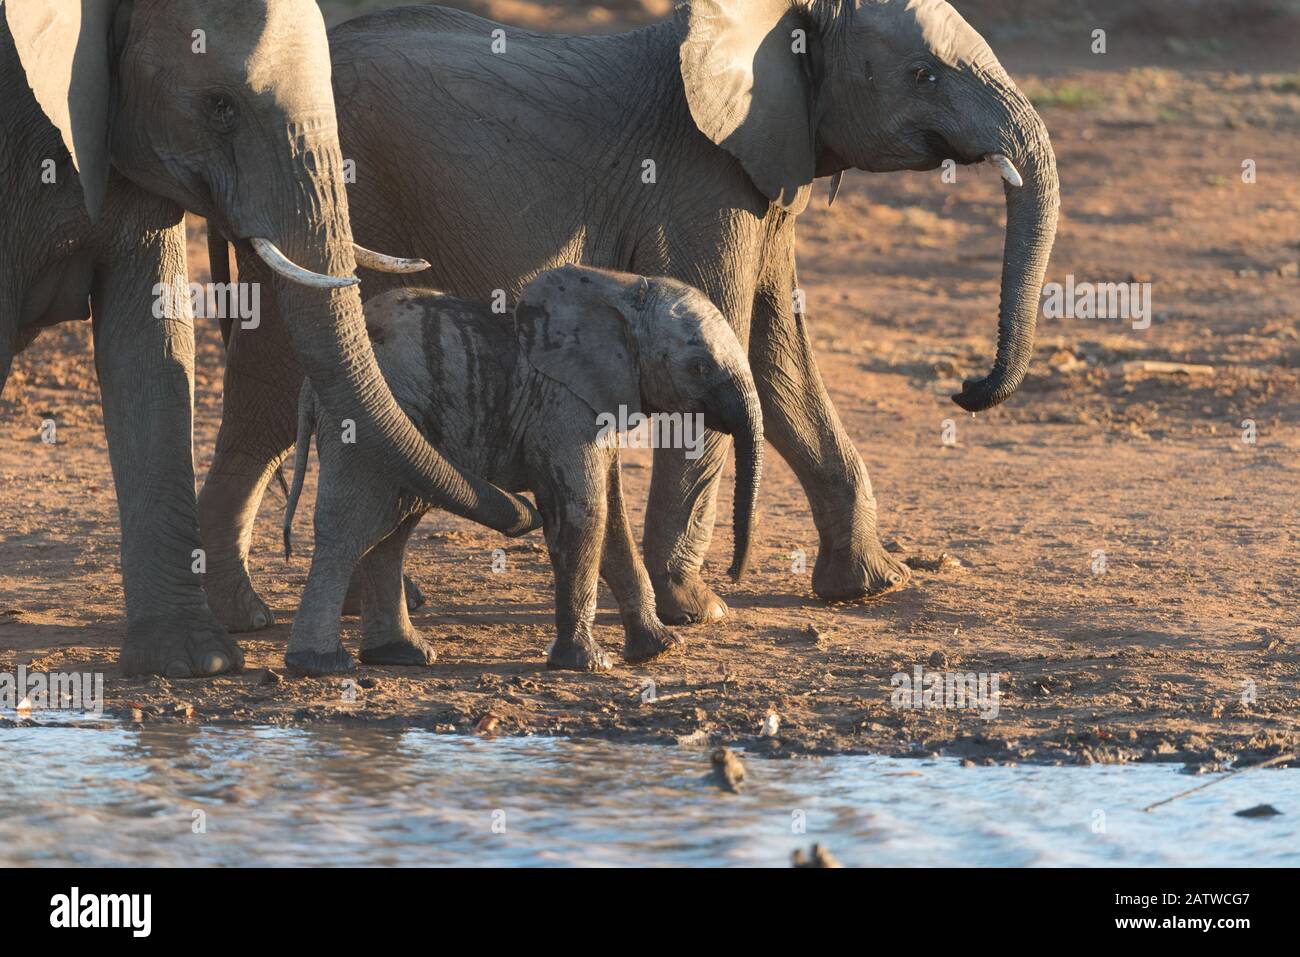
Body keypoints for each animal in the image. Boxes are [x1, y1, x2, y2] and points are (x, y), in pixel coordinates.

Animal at [202, 0, 1059, 632]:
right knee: (273, 394)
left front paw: (872, 585)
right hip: (316, 198)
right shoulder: (701, 179)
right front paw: (700, 611)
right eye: (923, 73)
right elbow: (731, 349)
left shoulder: (763, 175)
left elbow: (778, 363)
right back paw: (252, 614)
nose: (968, 390)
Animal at [280, 265, 764, 674]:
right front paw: (590, 664)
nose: (734, 573)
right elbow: (584, 514)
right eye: (698, 367)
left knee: (392, 529)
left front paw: (660, 649)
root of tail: (307, 386)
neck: (619, 289)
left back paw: (400, 655)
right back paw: (323, 665)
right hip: (360, 432)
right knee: (352, 529)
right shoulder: (562, 406)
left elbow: (610, 519)